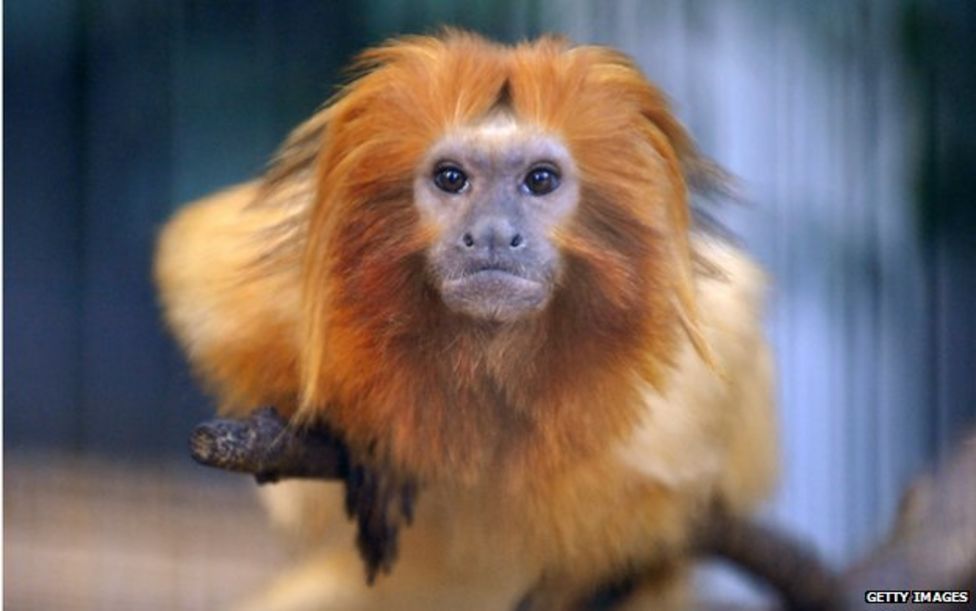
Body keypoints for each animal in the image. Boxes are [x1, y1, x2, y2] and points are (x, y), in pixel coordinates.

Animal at [155, 31, 777, 611]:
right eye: (451, 179)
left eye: (540, 180)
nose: (495, 234)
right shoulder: (295, 275)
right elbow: (198, 273)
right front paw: (370, 445)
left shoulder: (682, 384)